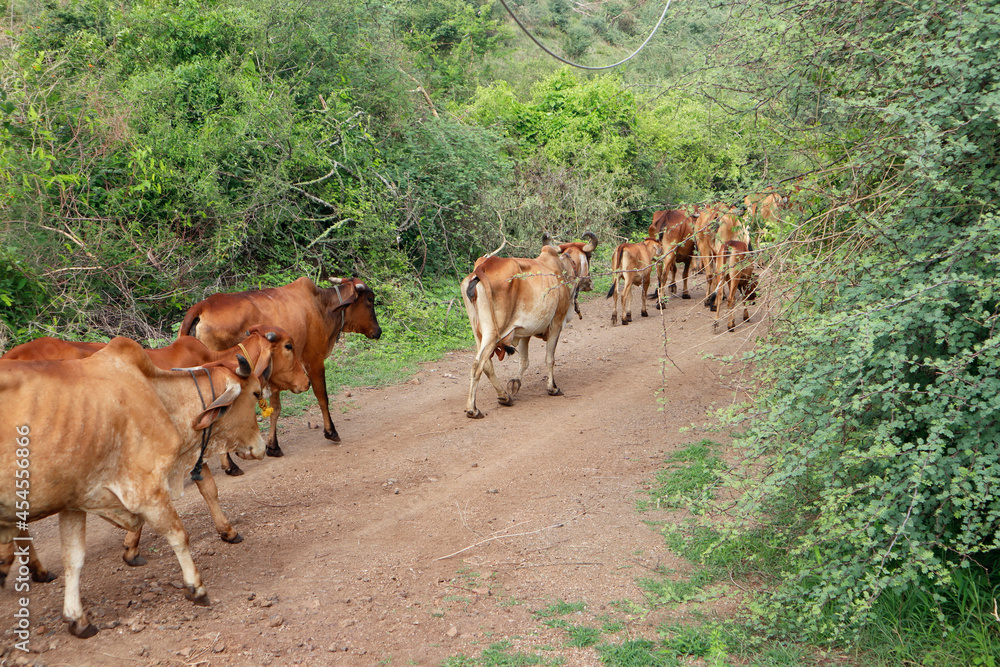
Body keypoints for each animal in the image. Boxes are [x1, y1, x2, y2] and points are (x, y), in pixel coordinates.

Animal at [0, 338, 267, 638]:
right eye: (255, 393)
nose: (261, 447)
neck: (159, 398)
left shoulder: (74, 502)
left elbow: (73, 559)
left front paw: (78, 619)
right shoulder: (146, 490)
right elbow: (179, 534)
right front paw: (195, 587)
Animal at [179, 277, 382, 459]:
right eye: (370, 299)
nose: (378, 331)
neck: (321, 306)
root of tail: (202, 306)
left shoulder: (275, 374)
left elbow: (275, 409)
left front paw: (273, 446)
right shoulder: (314, 360)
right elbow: (322, 397)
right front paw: (331, 431)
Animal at [461, 232, 597, 418]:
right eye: (589, 257)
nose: (590, 283)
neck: (562, 269)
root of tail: (480, 269)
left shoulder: (524, 331)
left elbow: (524, 361)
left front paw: (515, 383)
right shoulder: (556, 323)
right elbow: (550, 358)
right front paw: (552, 387)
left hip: (478, 332)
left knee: (486, 364)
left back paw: (504, 396)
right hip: (491, 333)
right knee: (478, 364)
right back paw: (473, 409)